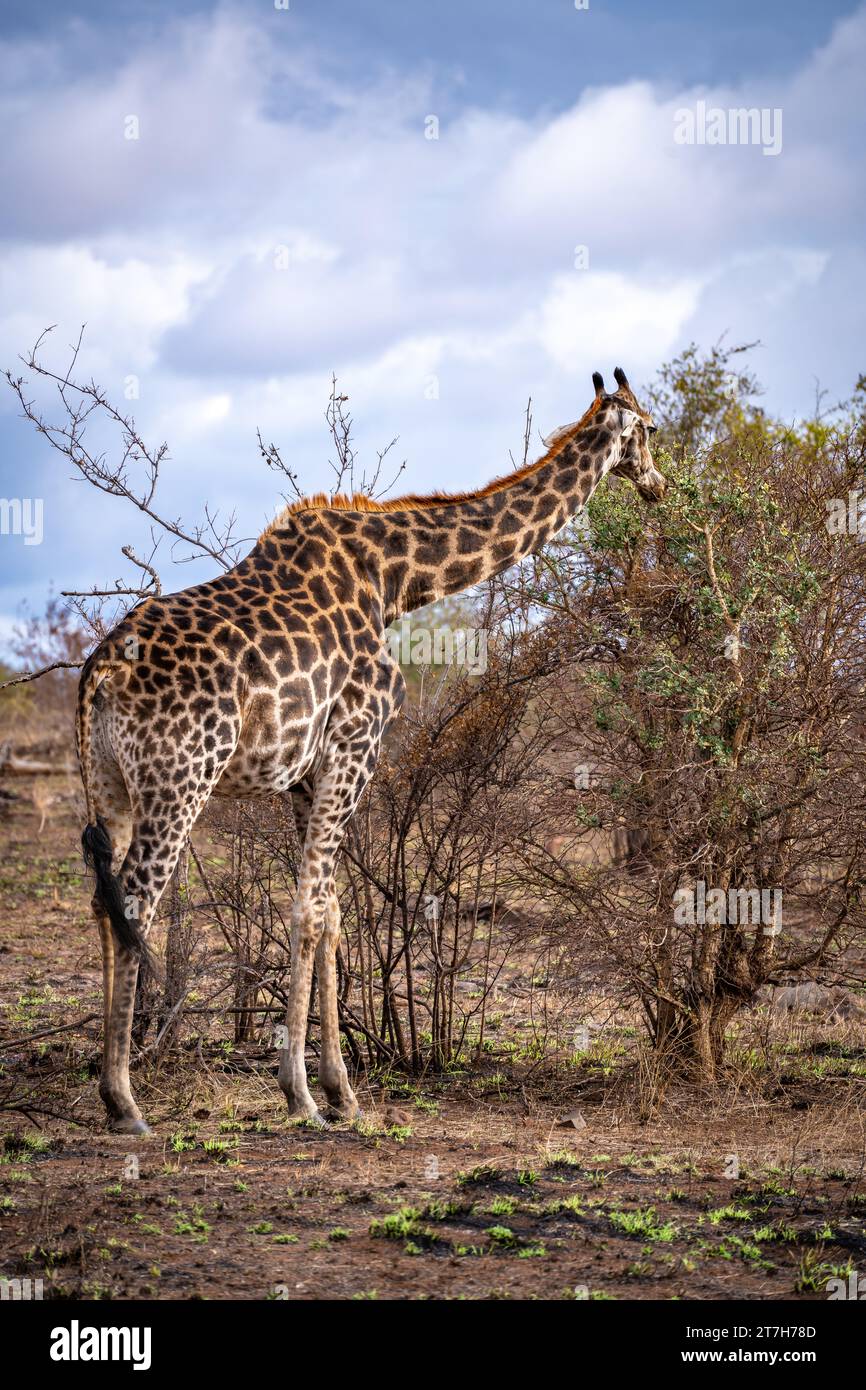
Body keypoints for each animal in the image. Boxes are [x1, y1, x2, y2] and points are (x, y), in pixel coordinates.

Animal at [77, 366, 664, 1133]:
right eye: (648, 428)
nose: (659, 483)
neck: (395, 579)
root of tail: (100, 670)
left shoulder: (305, 776)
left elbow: (331, 913)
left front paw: (341, 1091)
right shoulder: (354, 747)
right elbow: (310, 911)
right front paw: (301, 1093)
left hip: (111, 785)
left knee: (103, 899)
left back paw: (107, 1089)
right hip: (182, 779)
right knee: (138, 905)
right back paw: (125, 1101)